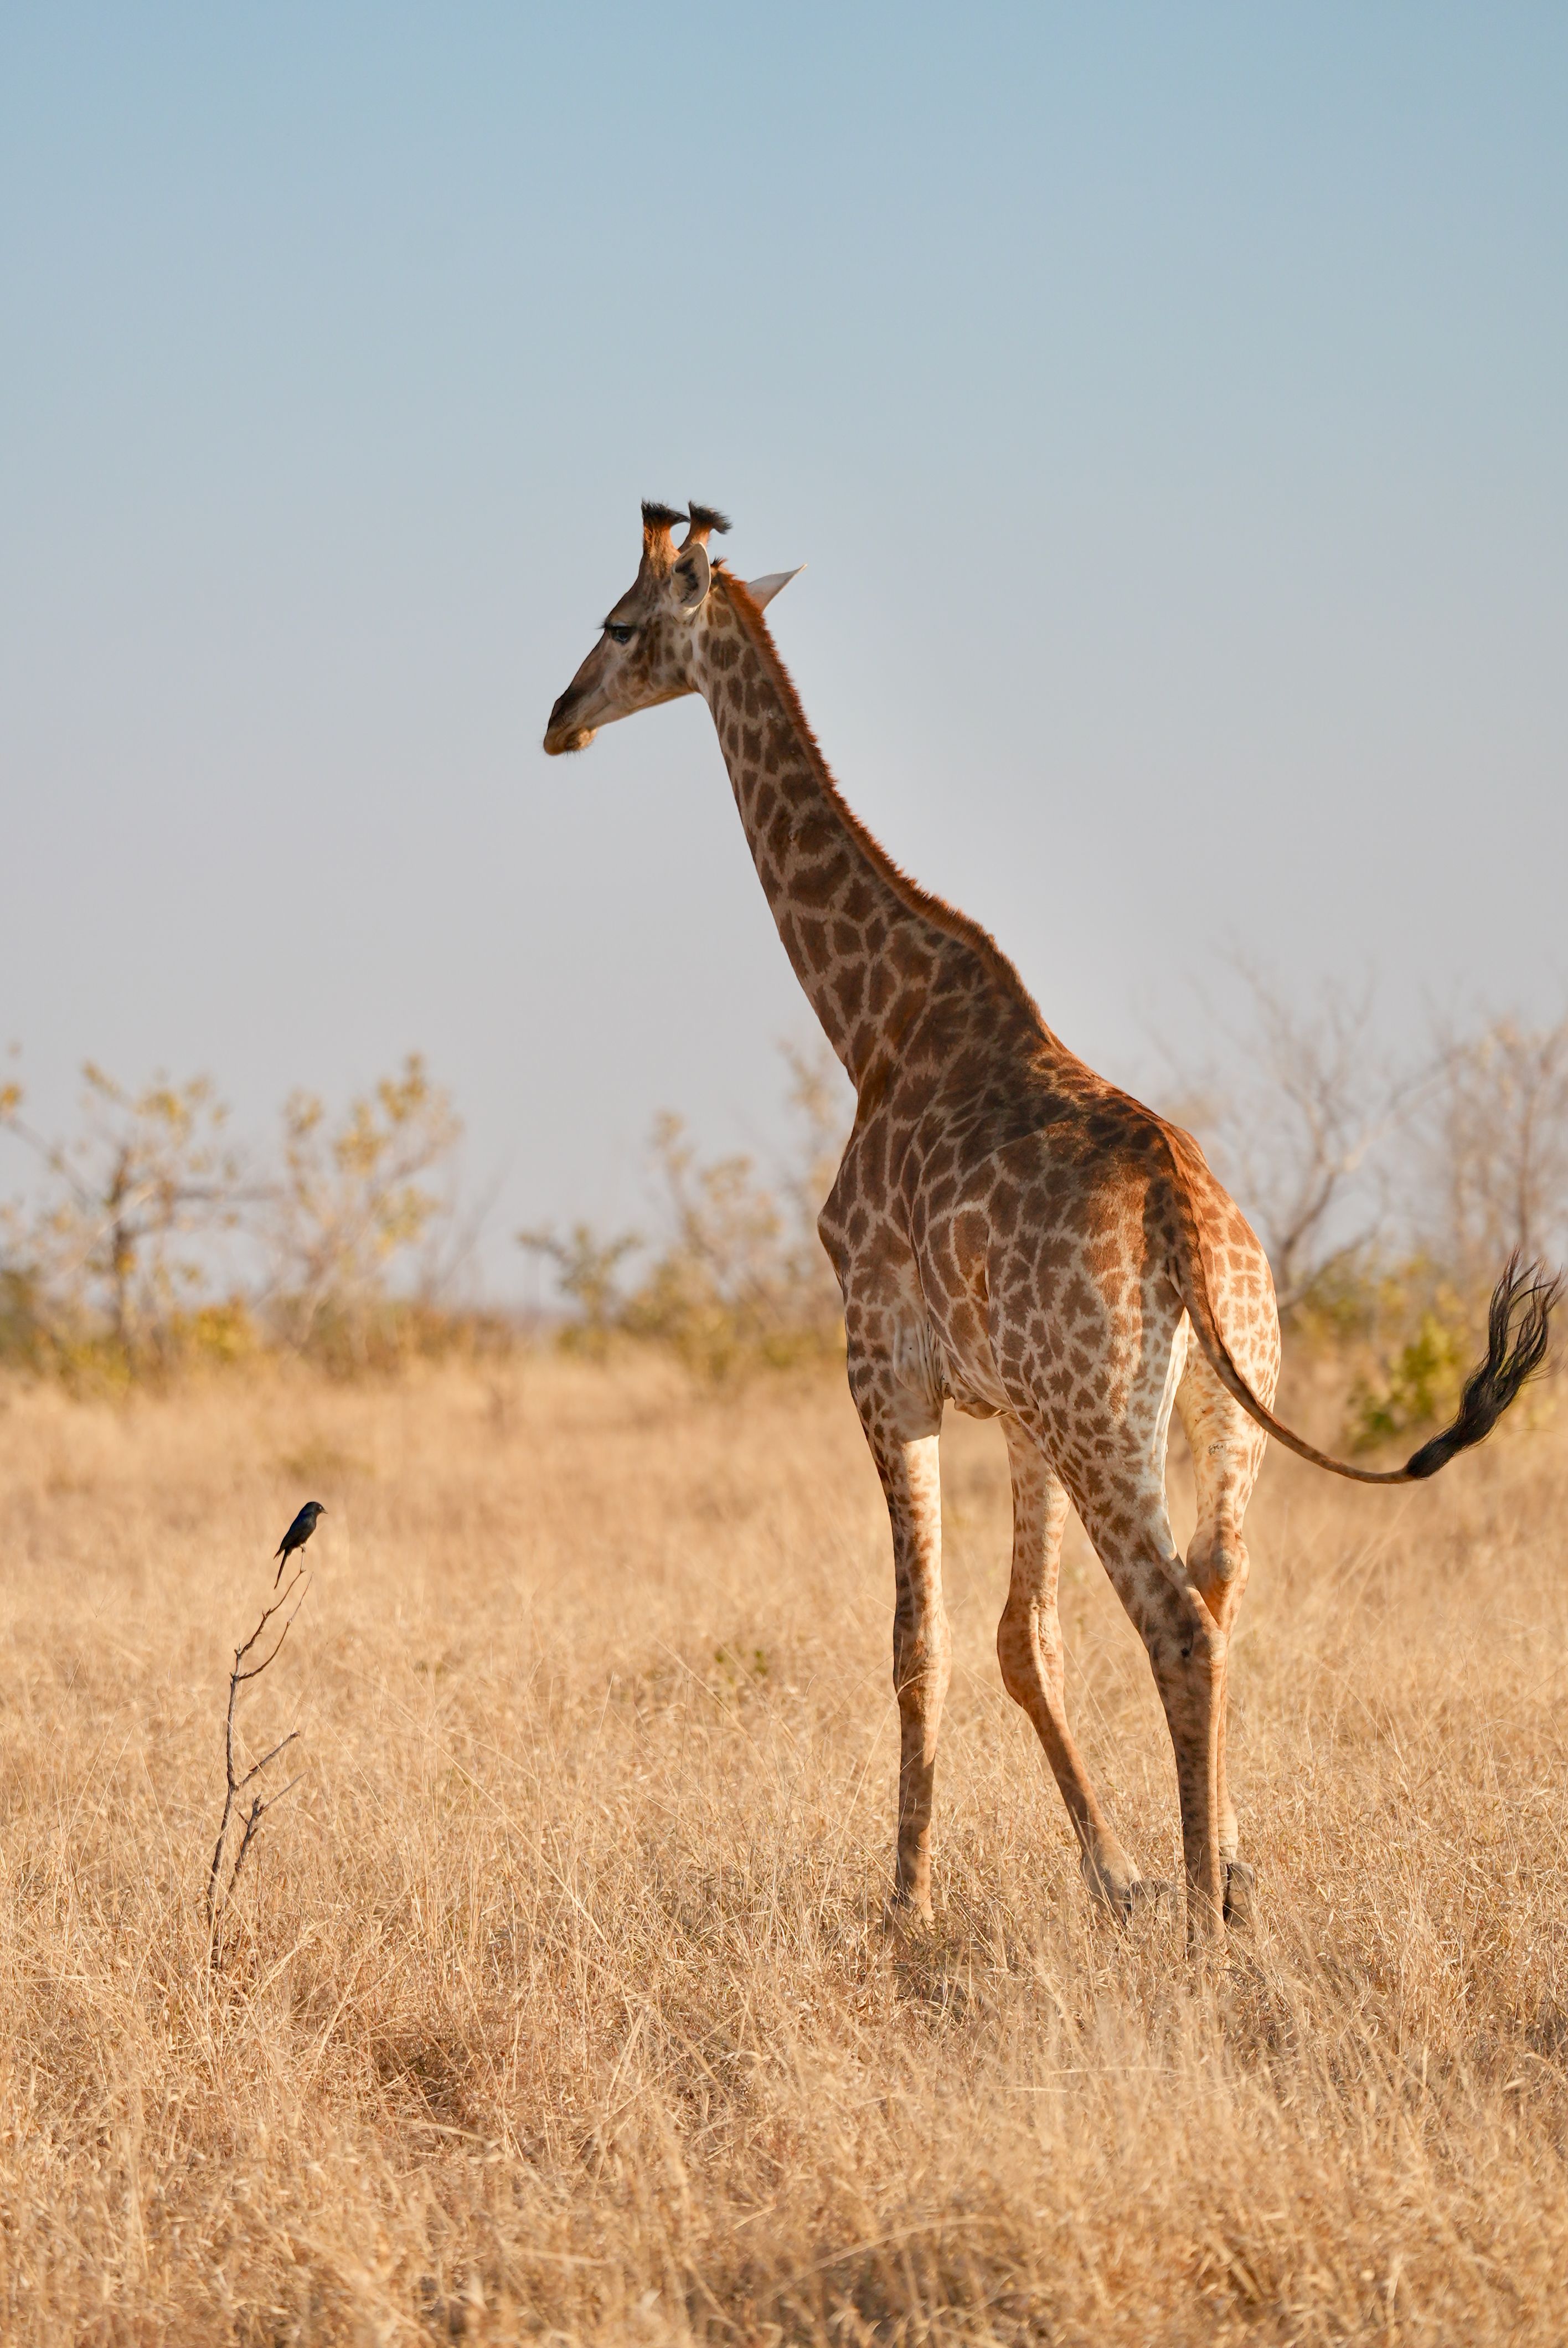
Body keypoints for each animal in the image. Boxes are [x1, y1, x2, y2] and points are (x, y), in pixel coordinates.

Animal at [543, 500, 1556, 1946]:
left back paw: (1202, 1922)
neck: (871, 1022)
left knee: (1175, 1620)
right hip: (1210, 1396)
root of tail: (1189, 1215)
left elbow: (922, 1643)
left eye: (620, 625)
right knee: (1219, 1585)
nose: (558, 718)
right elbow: (1028, 1637)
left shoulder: (883, 1366)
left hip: (1098, 1414)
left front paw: (905, 1905)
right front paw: (1112, 1871)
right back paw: (1225, 1872)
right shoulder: (1014, 1405)